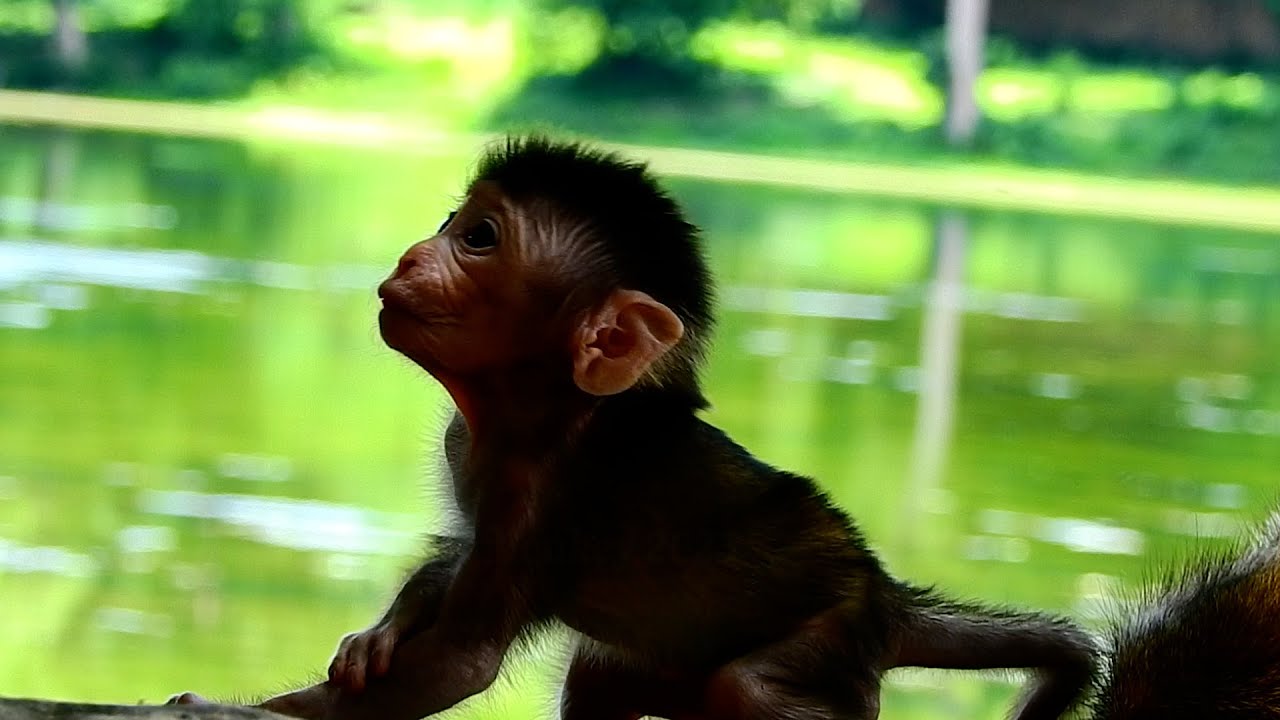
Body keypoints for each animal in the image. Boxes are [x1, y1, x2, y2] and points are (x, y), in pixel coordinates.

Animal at [169, 135, 1098, 720]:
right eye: (450, 222)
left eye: (478, 237)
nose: (410, 255)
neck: (534, 414)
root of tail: (883, 594)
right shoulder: (469, 454)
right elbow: (453, 562)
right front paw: (381, 633)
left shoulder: (541, 499)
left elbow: (461, 664)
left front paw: (224, 709)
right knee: (600, 677)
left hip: (828, 639)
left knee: (749, 690)